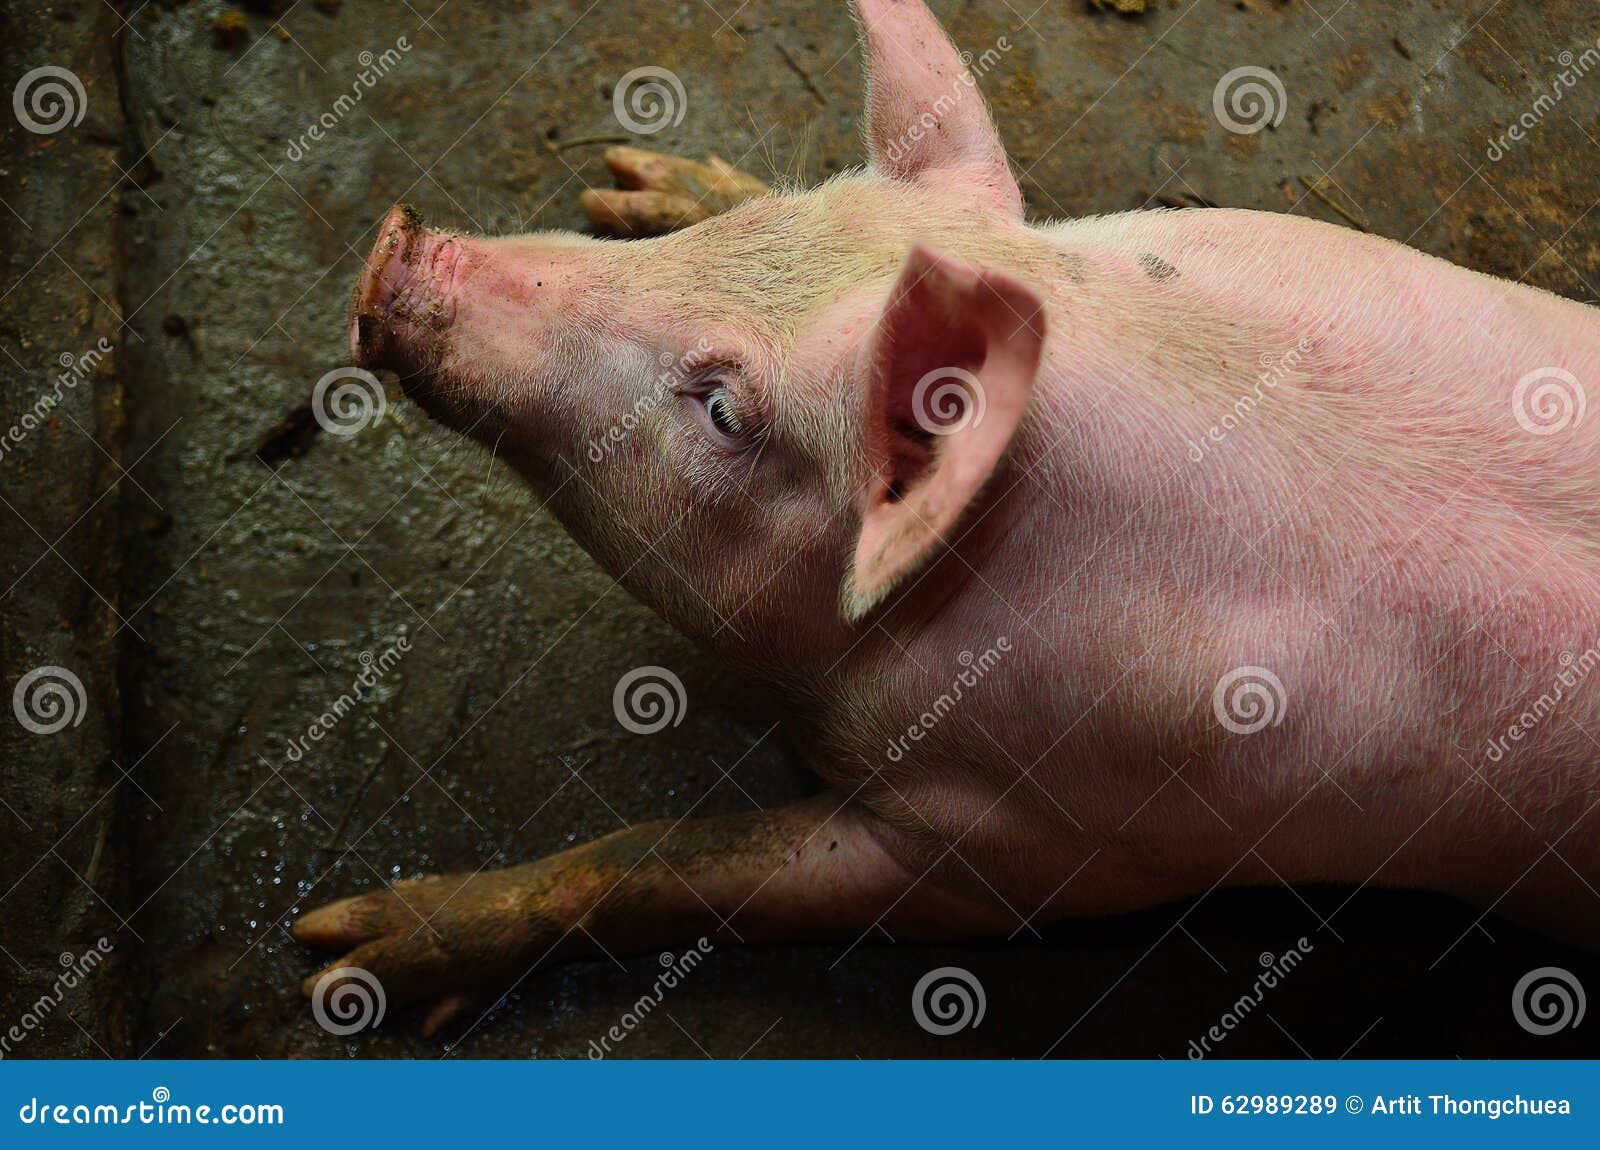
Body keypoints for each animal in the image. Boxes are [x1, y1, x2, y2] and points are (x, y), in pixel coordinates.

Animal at [297, 0, 1600, 1036]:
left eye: (722, 410)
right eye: (722, 239)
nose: (395, 248)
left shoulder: (1026, 850)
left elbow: (671, 859)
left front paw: (341, 963)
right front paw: (645, 183)